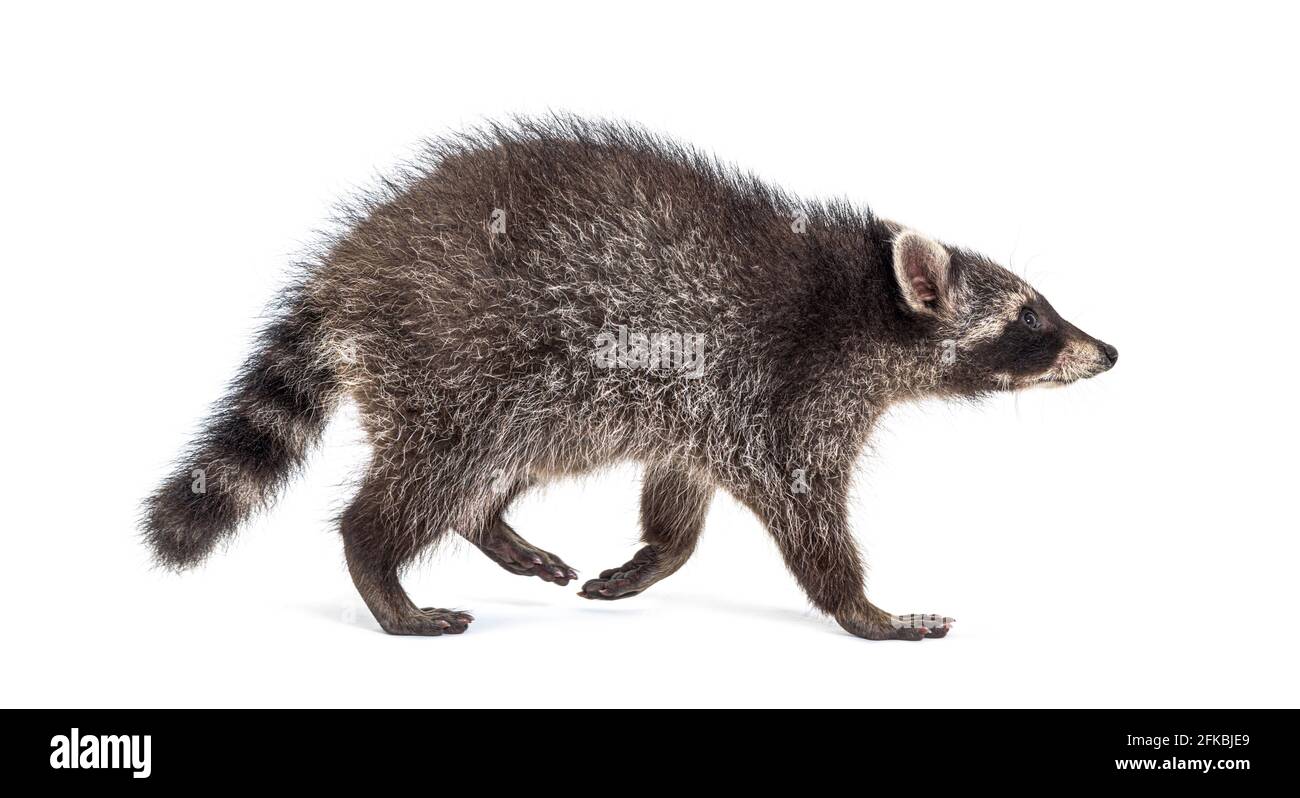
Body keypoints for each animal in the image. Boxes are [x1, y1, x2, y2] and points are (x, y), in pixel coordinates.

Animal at [142, 116, 1117, 640]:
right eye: (1031, 320)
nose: (1107, 352)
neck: (868, 300)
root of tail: (349, 267)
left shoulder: (710, 405)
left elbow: (679, 497)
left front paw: (656, 557)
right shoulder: (790, 395)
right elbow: (803, 508)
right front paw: (861, 606)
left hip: (538, 397)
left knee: (499, 466)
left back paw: (491, 525)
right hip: (458, 362)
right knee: (435, 474)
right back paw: (380, 567)